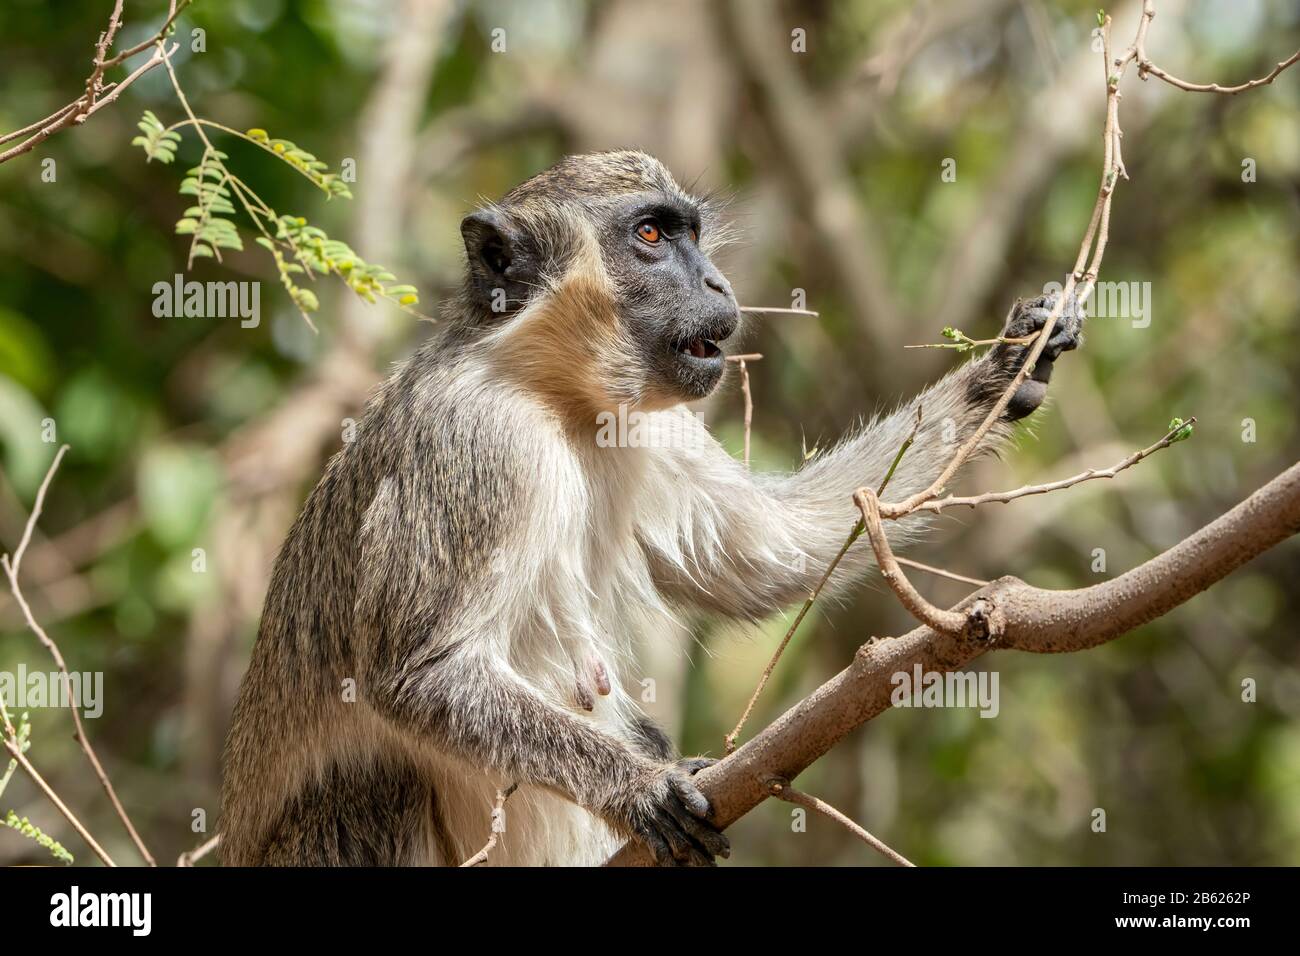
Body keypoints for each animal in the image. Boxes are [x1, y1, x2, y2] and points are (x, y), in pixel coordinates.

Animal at [219, 150, 1084, 867]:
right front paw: (642, 789)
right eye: (649, 236)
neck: (554, 394)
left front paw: (1009, 365)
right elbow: (417, 676)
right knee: (372, 788)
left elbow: (776, 552)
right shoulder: (472, 443)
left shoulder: (657, 427)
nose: (718, 284)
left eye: (691, 235)